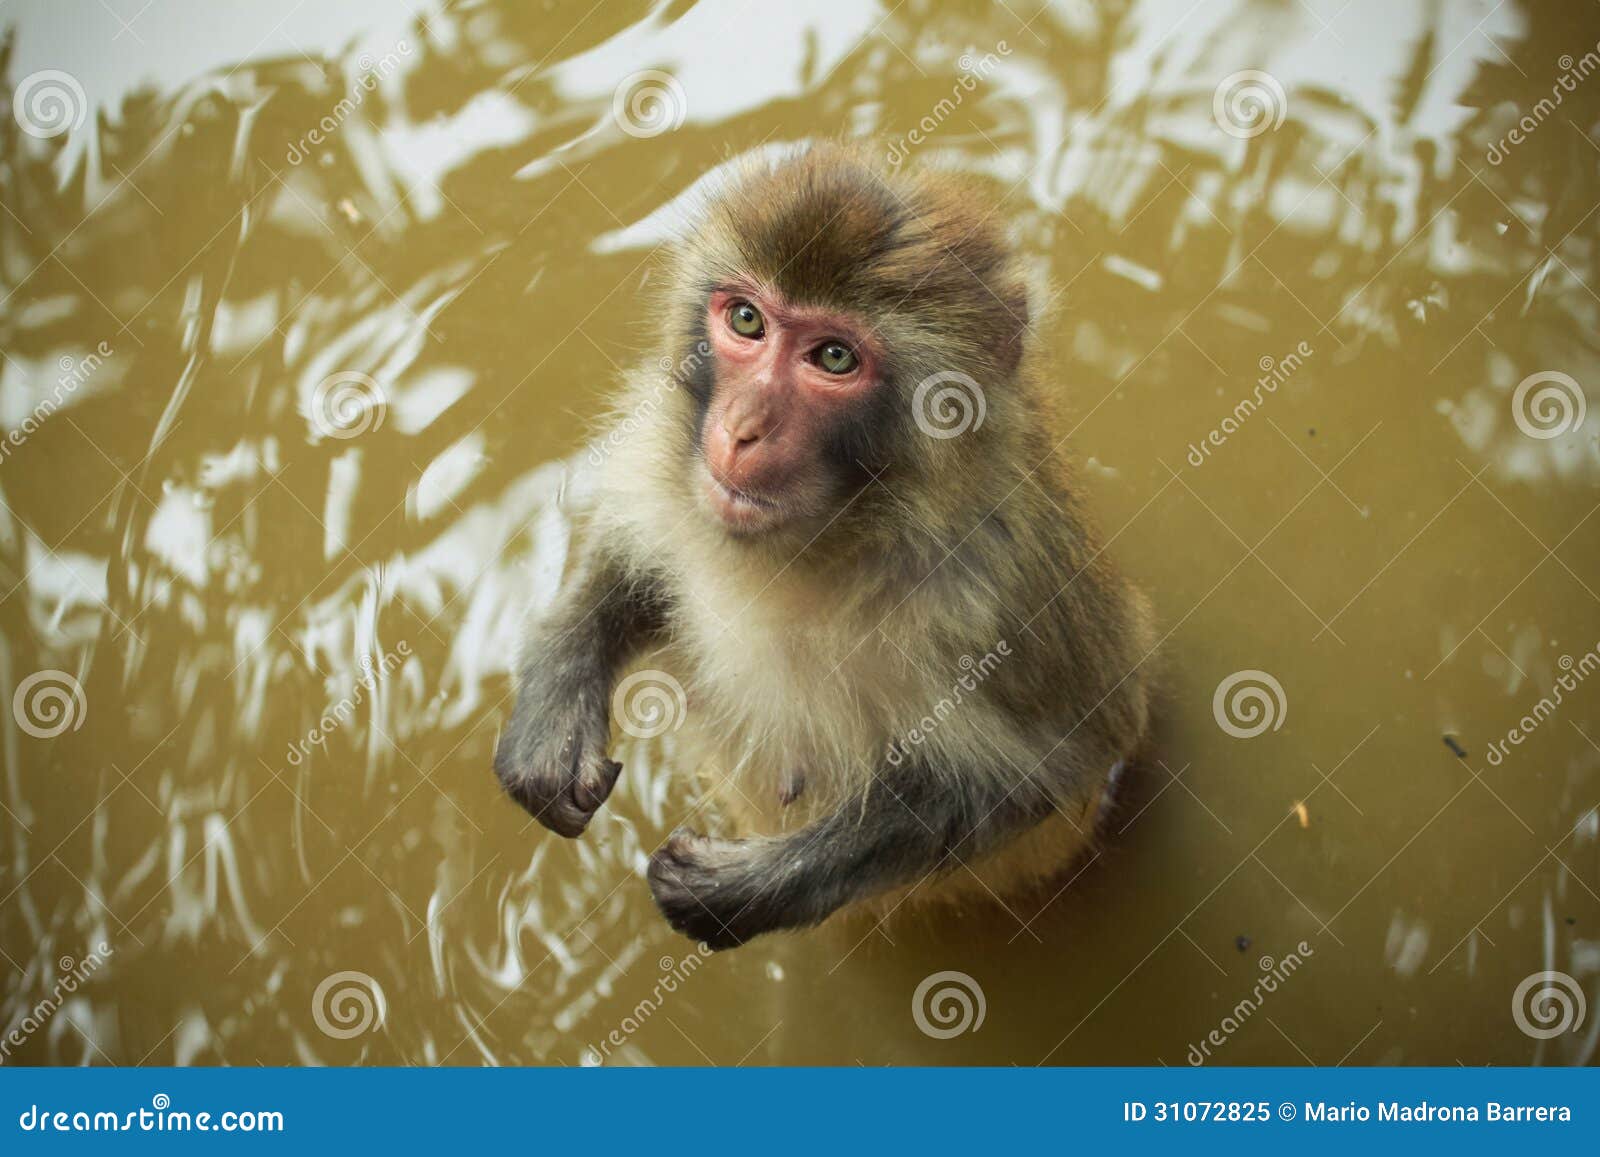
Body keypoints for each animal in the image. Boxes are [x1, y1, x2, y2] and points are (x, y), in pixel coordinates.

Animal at [493, 143, 1155, 950]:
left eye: (834, 358)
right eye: (746, 319)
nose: (740, 427)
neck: (834, 531)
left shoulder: (991, 593)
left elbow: (1045, 772)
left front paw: (750, 888)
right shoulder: (667, 457)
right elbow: (632, 559)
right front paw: (555, 709)